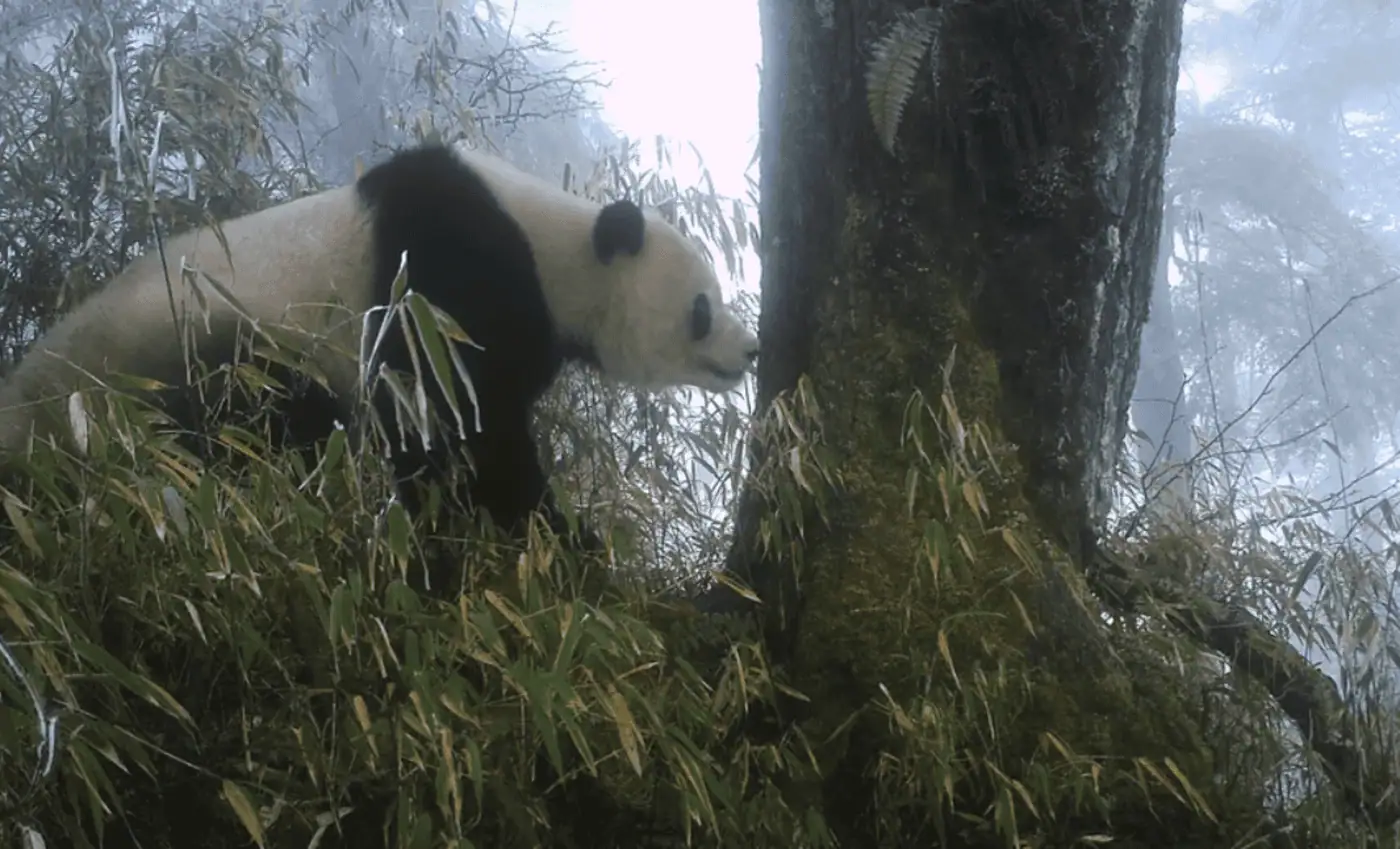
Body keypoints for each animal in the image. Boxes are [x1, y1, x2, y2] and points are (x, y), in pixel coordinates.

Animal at [0, 142, 759, 544]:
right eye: (702, 308)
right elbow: (454, 430)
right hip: (198, 357)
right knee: (249, 435)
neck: (554, 248)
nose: (750, 351)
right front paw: (562, 538)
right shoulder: (445, 282)